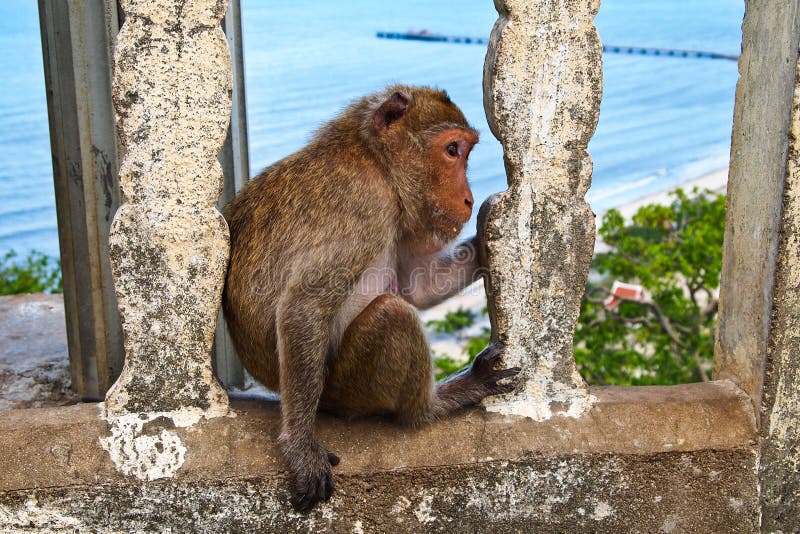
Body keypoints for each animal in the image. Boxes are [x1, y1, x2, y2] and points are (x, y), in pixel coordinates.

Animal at [223, 85, 520, 512]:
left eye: (465, 152)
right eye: (452, 150)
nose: (467, 199)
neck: (375, 161)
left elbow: (415, 286)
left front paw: (485, 237)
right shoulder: (363, 203)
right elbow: (305, 306)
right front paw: (301, 451)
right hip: (344, 388)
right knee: (392, 314)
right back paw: (436, 405)